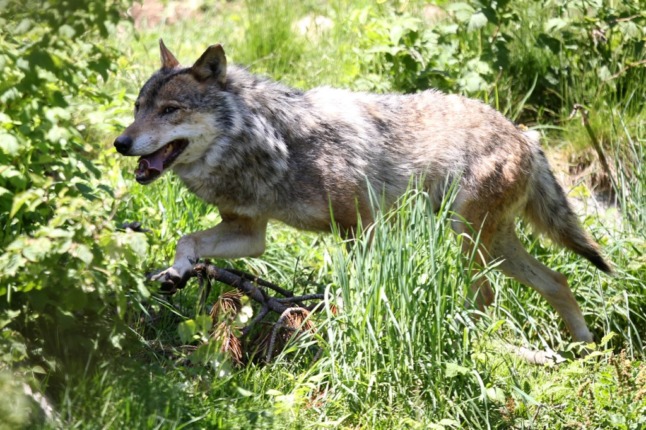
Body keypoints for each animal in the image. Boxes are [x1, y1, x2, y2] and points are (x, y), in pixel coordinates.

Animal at [114, 40, 612, 344]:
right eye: (138, 108)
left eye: (170, 110)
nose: (120, 143)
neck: (272, 143)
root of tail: (525, 136)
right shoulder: (252, 234)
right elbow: (188, 241)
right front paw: (176, 272)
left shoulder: (363, 228)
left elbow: (357, 288)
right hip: (493, 244)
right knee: (558, 280)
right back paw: (584, 350)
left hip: (469, 241)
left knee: (490, 296)